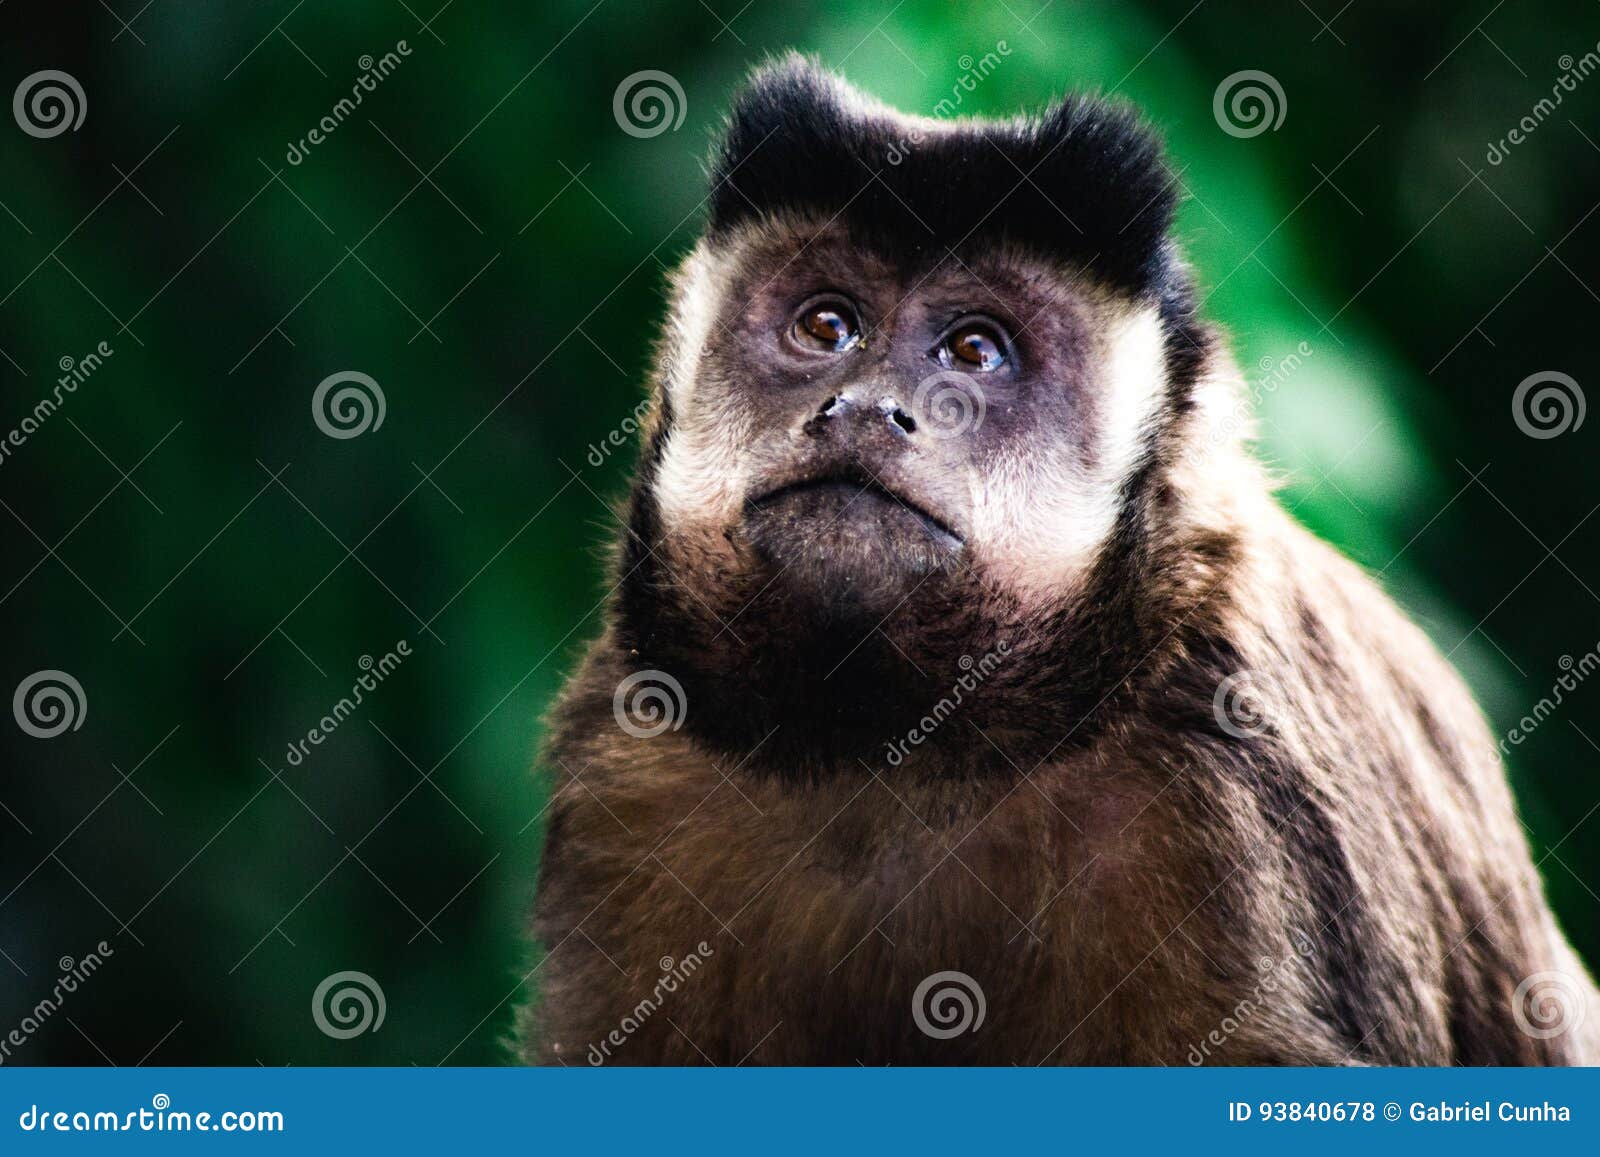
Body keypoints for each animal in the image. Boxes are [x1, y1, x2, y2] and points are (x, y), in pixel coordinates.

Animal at [517, 55, 1600, 1066]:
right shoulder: (628, 758)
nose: (865, 407)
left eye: (974, 352)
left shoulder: (1232, 772)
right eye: (826, 327)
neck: (904, 749)